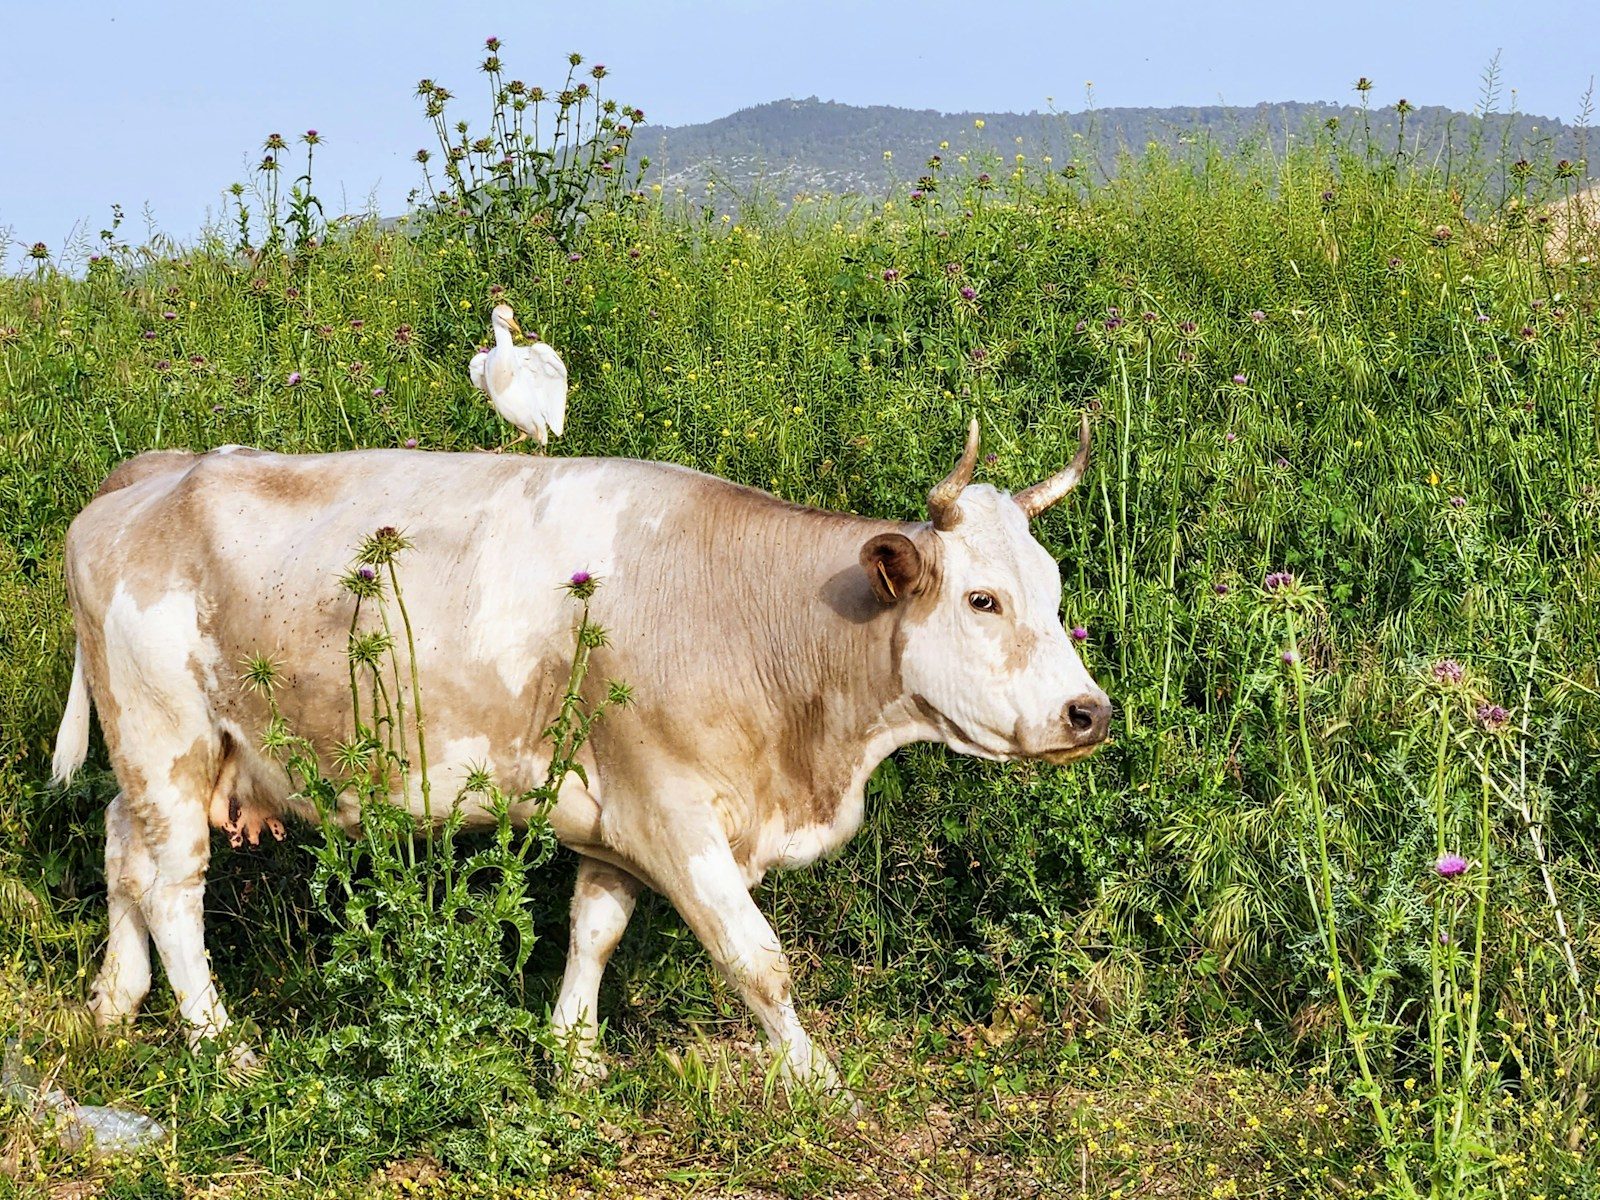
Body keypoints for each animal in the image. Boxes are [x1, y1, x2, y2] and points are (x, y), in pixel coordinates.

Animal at [51, 419, 1109, 1094]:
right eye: (982, 599)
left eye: (1054, 590)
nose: (1088, 712)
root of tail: (158, 472)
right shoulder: (675, 810)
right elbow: (758, 960)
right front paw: (821, 1087)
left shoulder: (616, 812)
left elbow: (595, 927)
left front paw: (576, 1056)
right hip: (168, 737)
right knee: (174, 887)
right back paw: (217, 1045)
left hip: (162, 754)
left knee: (122, 848)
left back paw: (113, 1004)